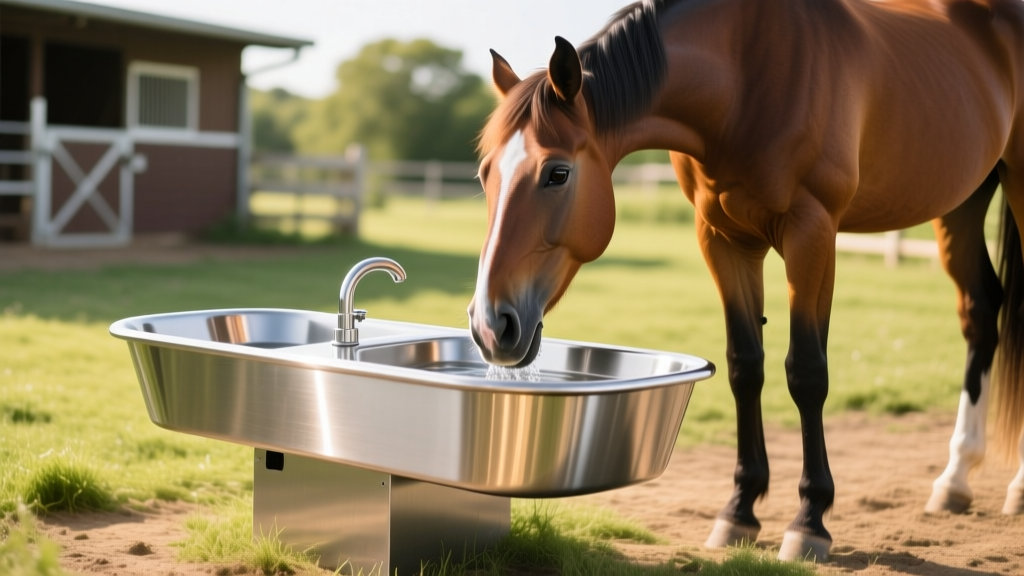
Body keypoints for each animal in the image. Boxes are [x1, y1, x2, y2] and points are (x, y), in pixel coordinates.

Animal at [466, 0, 1024, 561]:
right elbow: (744, 367)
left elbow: (806, 371)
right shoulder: (722, 239)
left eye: (557, 173)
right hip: (962, 202)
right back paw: (954, 481)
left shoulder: (811, 232)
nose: (491, 325)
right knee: (981, 312)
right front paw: (739, 512)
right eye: (485, 174)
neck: (747, 81)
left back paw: (1015, 489)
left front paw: (810, 521)